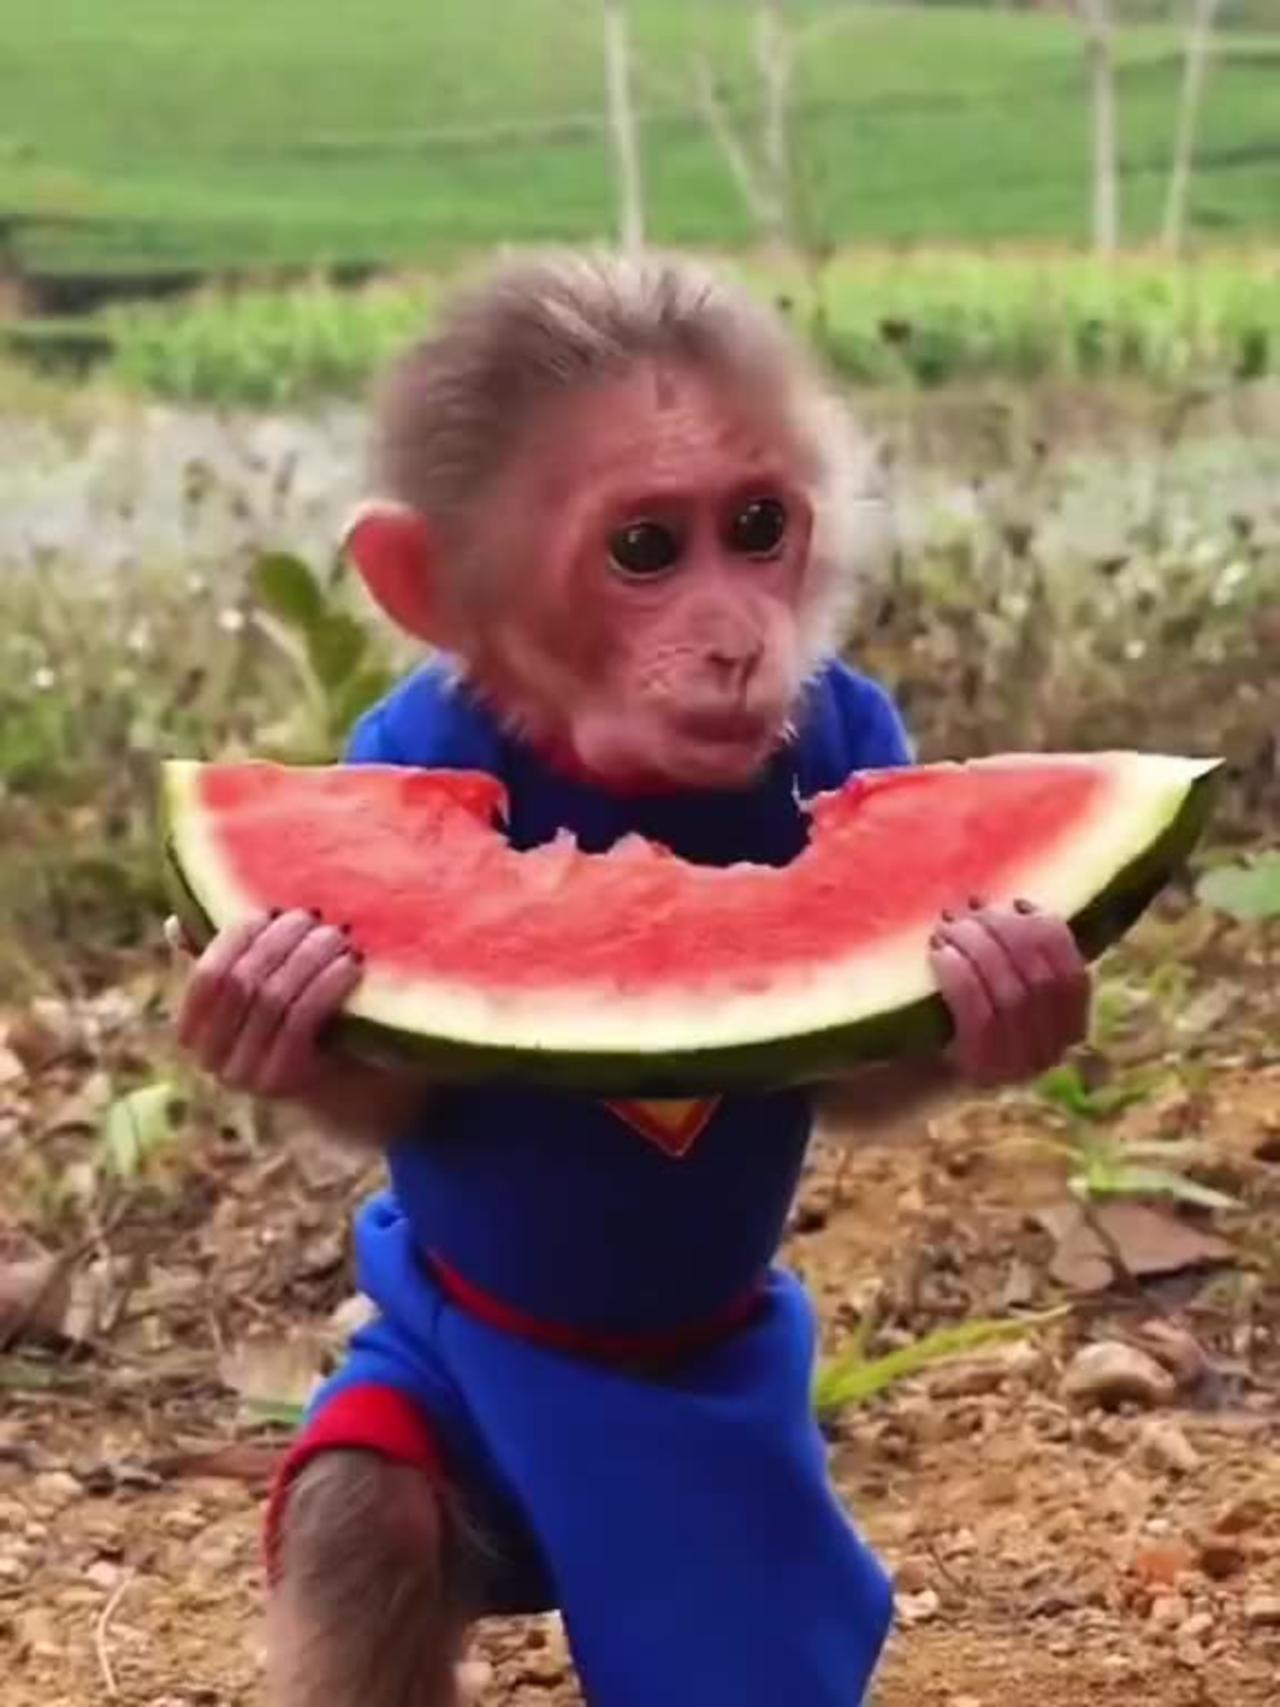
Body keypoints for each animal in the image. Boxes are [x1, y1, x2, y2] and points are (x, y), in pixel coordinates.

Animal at [169, 249, 1091, 1707]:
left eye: (759, 526)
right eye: (646, 551)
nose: (736, 642)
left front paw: (1012, 980)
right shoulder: (397, 736)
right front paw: (270, 994)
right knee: (368, 1505)